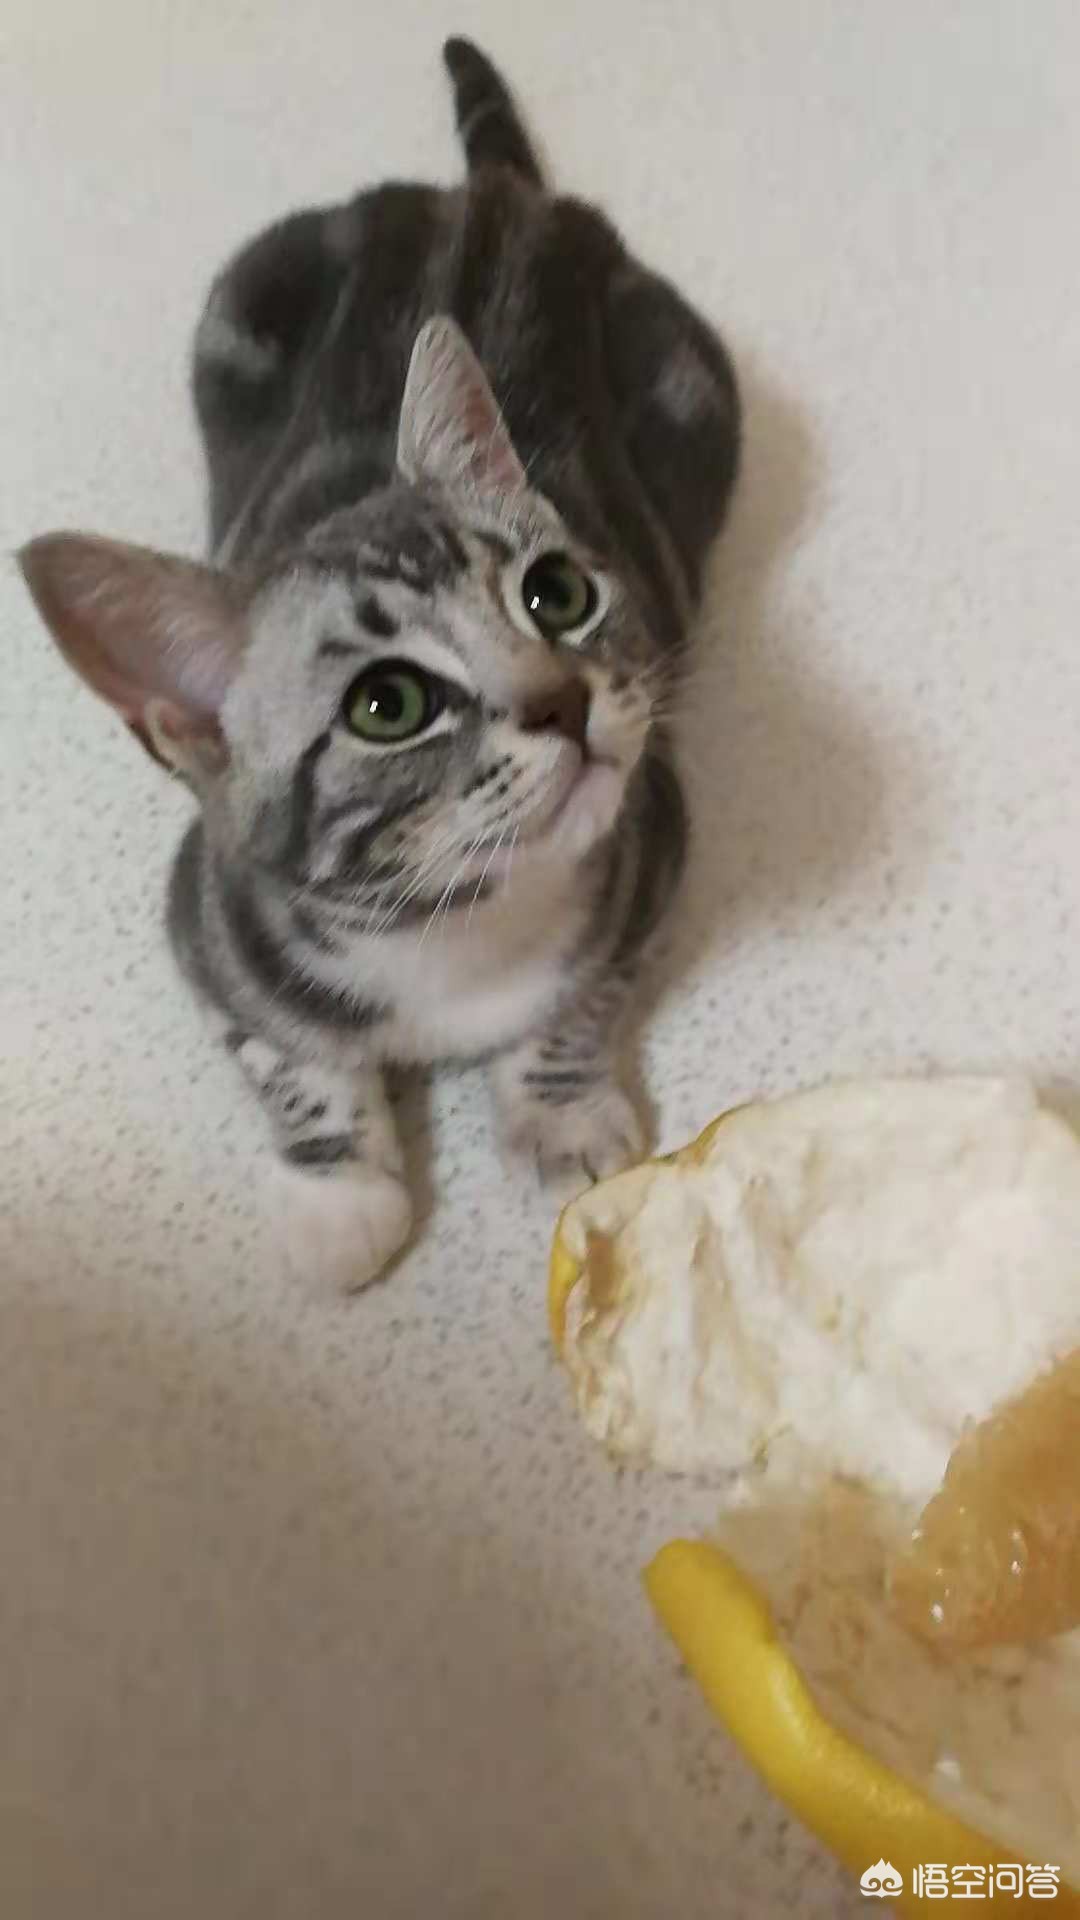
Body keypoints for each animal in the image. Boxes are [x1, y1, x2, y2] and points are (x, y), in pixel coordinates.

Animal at [19, 37, 740, 1292]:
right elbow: (282, 1053)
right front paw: (338, 1187)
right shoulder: (203, 917)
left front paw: (558, 1108)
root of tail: (485, 201)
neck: (444, 931)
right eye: (388, 703)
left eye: (556, 596)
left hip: (699, 385)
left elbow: (584, 997)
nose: (564, 702)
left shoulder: (657, 838)